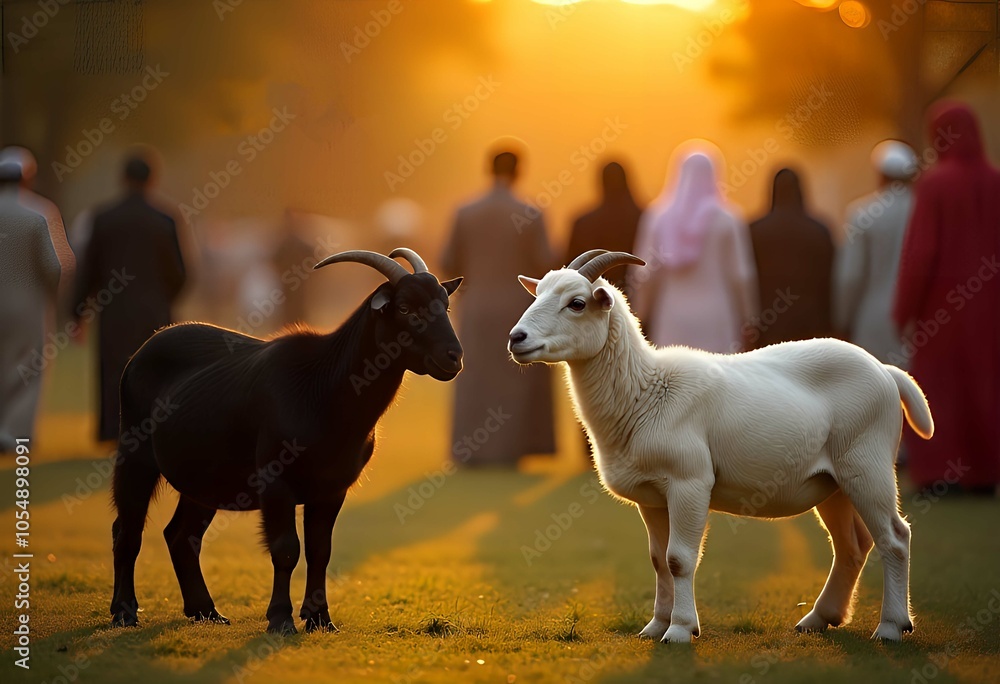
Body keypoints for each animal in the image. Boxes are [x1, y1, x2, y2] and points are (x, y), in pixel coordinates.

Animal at [110, 248, 463, 635]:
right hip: (134, 454)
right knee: (126, 530)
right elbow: (286, 549)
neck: (325, 387)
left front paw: (320, 618)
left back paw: (206, 611)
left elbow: (320, 550)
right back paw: (124, 612)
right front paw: (280, 618)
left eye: (445, 306)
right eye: (405, 309)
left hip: (204, 479)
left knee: (181, 536)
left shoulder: (332, 489)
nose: (454, 357)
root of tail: (142, 351)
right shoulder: (274, 480)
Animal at [508, 249, 933, 644]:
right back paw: (819, 619)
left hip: (866, 463)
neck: (645, 391)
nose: (516, 338)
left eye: (577, 303)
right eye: (538, 293)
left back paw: (891, 627)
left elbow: (679, 560)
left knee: (895, 538)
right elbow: (658, 561)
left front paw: (680, 630)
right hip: (833, 482)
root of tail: (886, 371)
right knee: (852, 546)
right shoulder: (652, 498)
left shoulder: (689, 482)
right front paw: (654, 626)